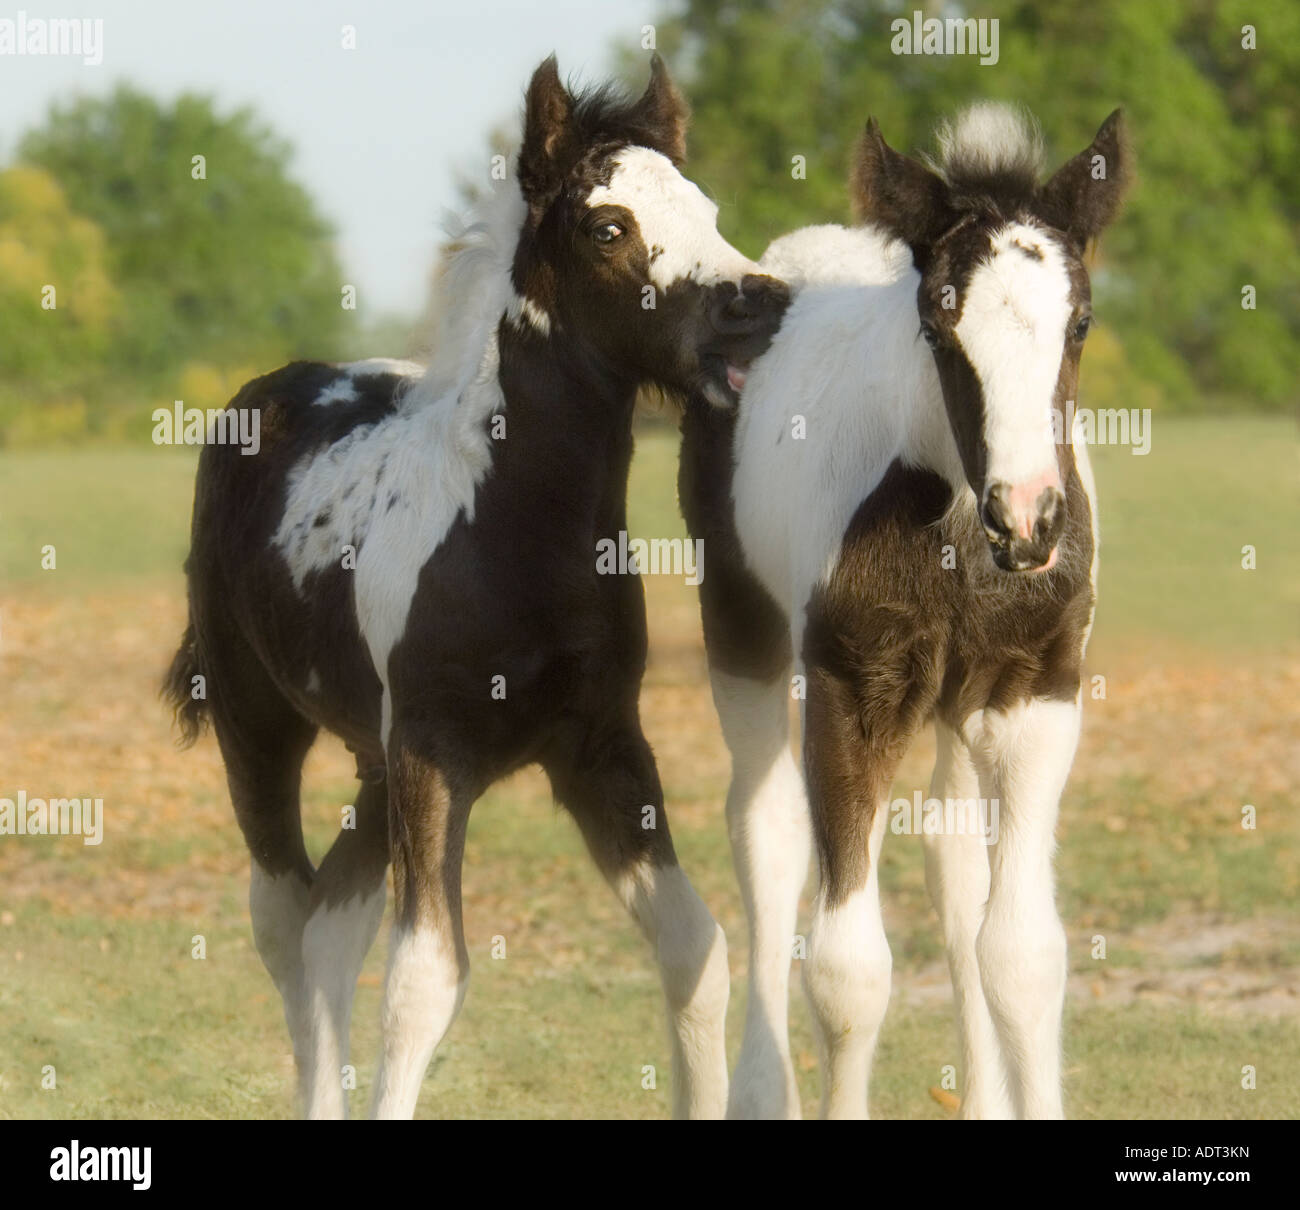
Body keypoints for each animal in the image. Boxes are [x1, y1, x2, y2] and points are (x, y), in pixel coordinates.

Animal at [164, 54, 789, 1119]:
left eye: (705, 206)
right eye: (608, 226)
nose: (760, 305)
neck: (508, 530)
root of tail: (265, 395)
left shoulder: (599, 748)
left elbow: (694, 947)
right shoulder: (433, 753)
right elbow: (424, 983)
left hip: (373, 764)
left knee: (328, 928)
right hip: (260, 725)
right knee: (285, 922)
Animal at [681, 102, 1131, 1118]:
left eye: (1081, 321)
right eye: (938, 319)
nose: (1029, 517)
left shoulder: (1037, 693)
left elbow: (1021, 952)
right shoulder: (852, 688)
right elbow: (848, 973)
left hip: (959, 704)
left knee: (955, 874)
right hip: (743, 631)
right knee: (765, 837)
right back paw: (760, 1090)